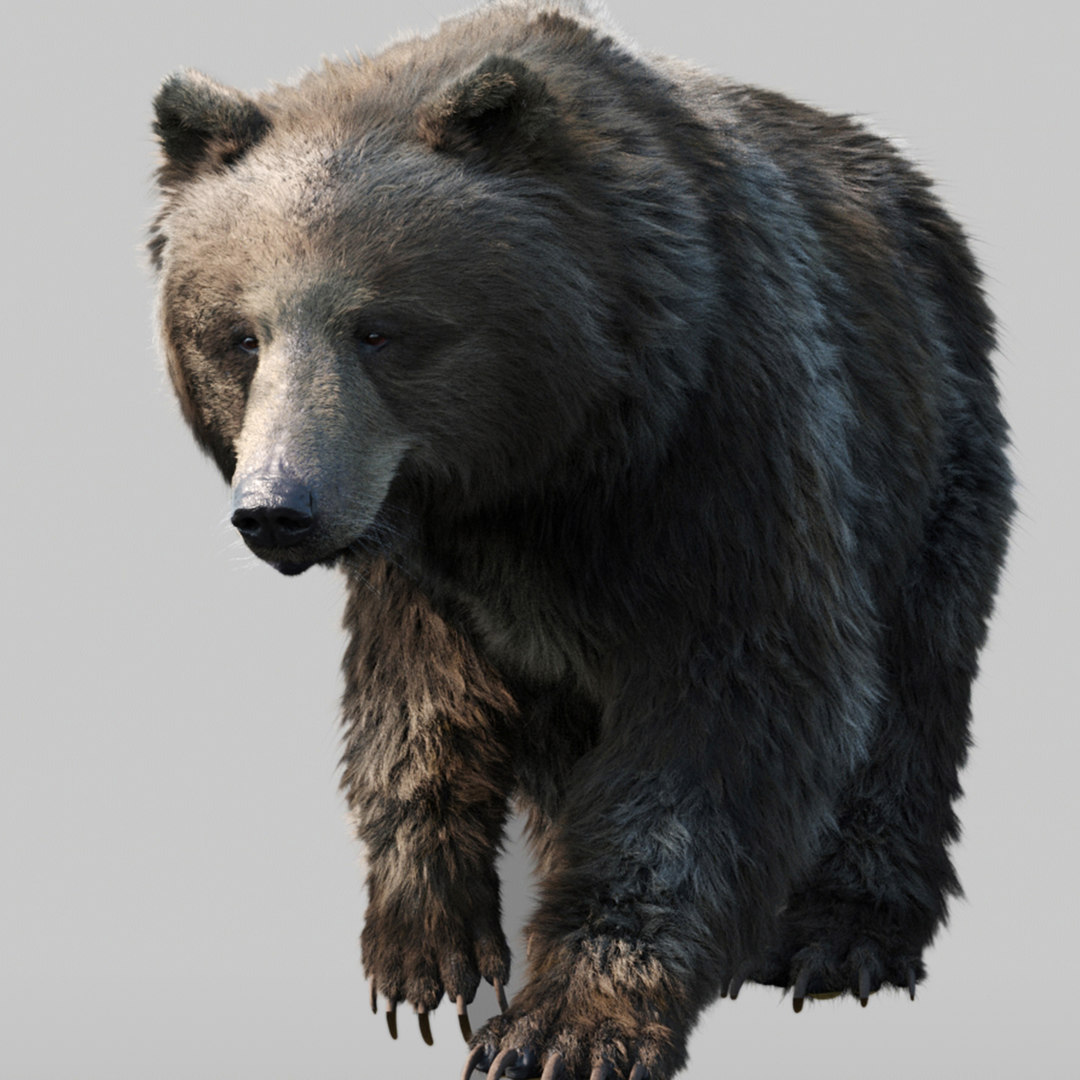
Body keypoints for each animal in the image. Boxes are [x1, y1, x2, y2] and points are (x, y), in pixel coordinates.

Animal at [148, 2, 1014, 1077]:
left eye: (379, 330)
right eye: (238, 336)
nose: (278, 508)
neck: (546, 460)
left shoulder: (725, 444)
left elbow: (734, 703)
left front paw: (570, 1021)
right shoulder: (422, 562)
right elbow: (415, 712)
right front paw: (433, 954)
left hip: (928, 446)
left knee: (912, 682)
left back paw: (843, 933)